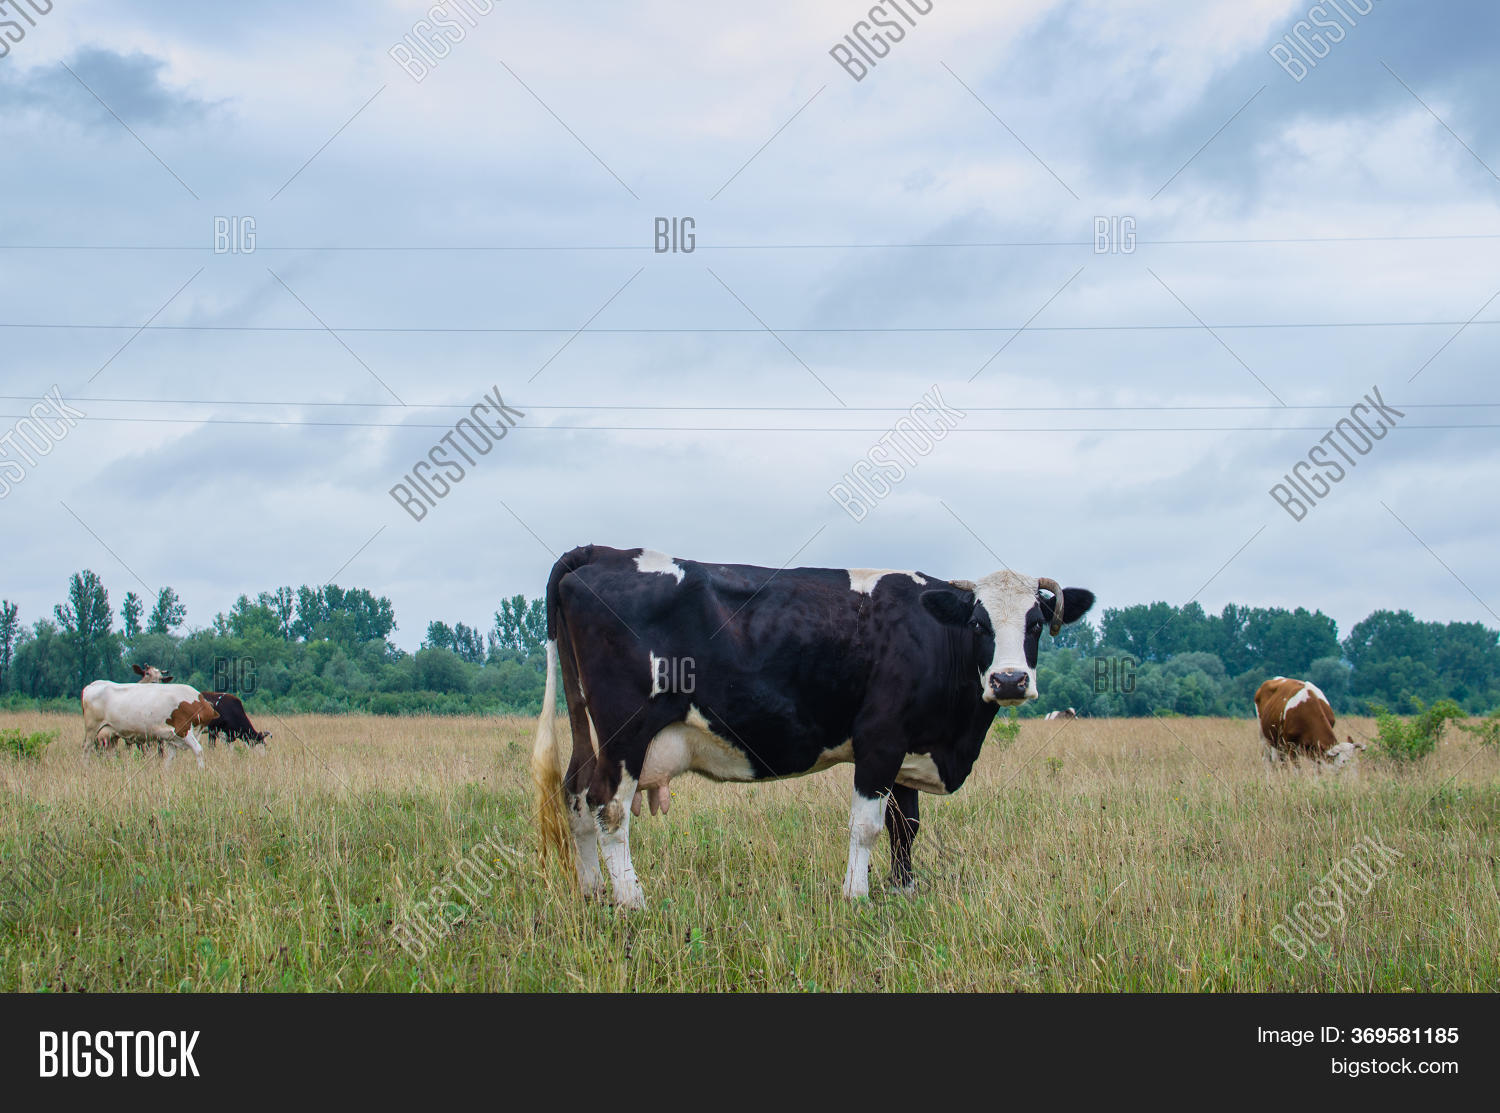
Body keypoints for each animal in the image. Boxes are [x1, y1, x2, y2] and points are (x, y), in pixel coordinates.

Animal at [80, 680, 218, 767]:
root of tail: (94, 684)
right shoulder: (183, 730)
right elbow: (198, 750)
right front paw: (201, 771)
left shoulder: (172, 737)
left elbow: (170, 758)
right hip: (92, 729)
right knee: (87, 748)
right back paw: (85, 768)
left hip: (112, 733)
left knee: (111, 753)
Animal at [530, 545, 1094, 909]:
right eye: (979, 624)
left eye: (1035, 624)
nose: (1010, 679)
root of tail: (602, 552)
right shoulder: (880, 741)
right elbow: (867, 826)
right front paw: (856, 897)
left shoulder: (909, 748)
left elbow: (905, 825)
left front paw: (904, 891)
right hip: (625, 731)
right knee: (608, 807)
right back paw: (632, 901)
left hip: (588, 728)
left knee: (576, 795)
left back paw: (593, 892)